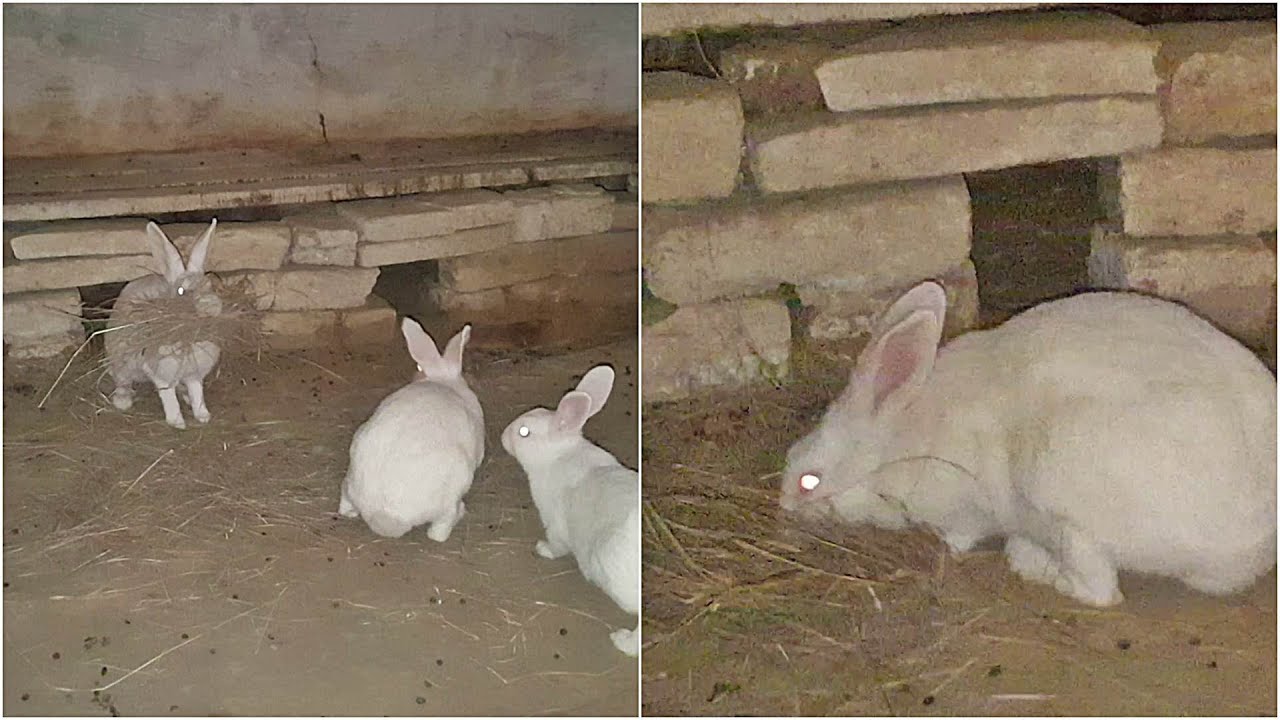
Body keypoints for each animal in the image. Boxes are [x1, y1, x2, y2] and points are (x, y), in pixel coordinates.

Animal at [105, 219, 223, 430]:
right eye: (181, 291)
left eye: (210, 286)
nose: (211, 306)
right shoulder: (161, 372)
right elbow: (168, 396)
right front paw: (177, 422)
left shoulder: (194, 374)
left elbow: (197, 392)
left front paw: (203, 415)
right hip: (122, 359)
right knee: (121, 378)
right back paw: (123, 400)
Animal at [339, 319, 484, 542]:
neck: (443, 380)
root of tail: (385, 517)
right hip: (454, 489)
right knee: (439, 530)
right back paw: (459, 514)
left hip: (352, 473)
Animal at [501, 366, 640, 656]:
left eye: (524, 432)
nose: (502, 436)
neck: (557, 455)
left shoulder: (555, 524)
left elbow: (556, 545)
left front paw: (542, 549)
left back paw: (622, 641)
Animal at [783, 280, 1276, 607]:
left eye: (810, 481)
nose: (784, 508)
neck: (891, 445)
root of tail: (1258, 538)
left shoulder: (964, 504)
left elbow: (960, 534)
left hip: (1062, 487)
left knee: (1101, 589)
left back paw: (1035, 565)